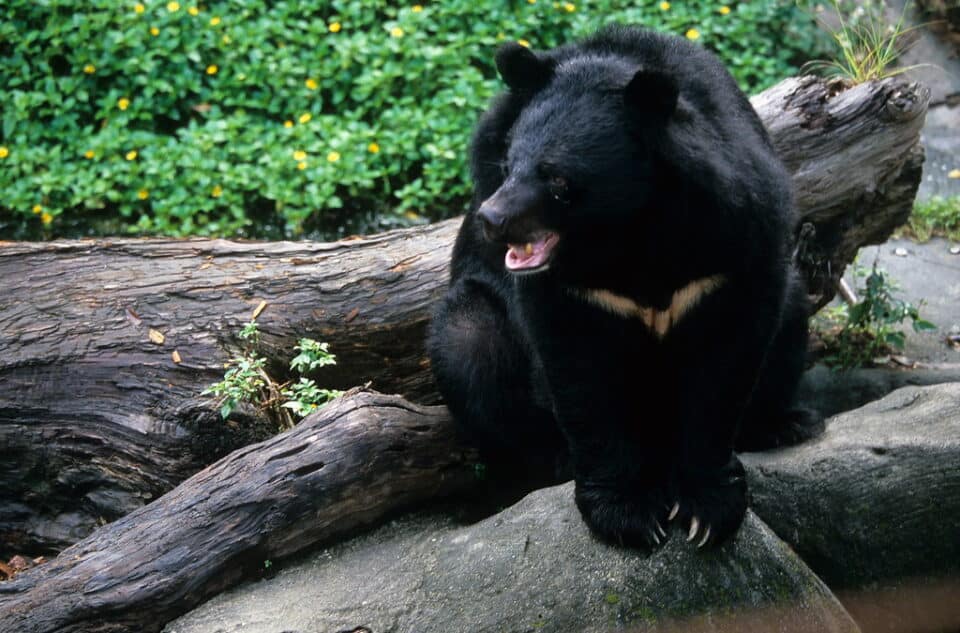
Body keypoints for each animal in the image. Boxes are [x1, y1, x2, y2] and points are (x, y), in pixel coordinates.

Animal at [427, 26, 823, 549]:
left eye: (557, 178)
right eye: (509, 165)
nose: (493, 220)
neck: (628, 235)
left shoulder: (733, 241)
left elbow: (725, 363)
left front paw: (706, 511)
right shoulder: (569, 291)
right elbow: (582, 376)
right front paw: (629, 514)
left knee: (791, 318)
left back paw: (786, 424)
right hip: (477, 324)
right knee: (470, 346)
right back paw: (545, 463)